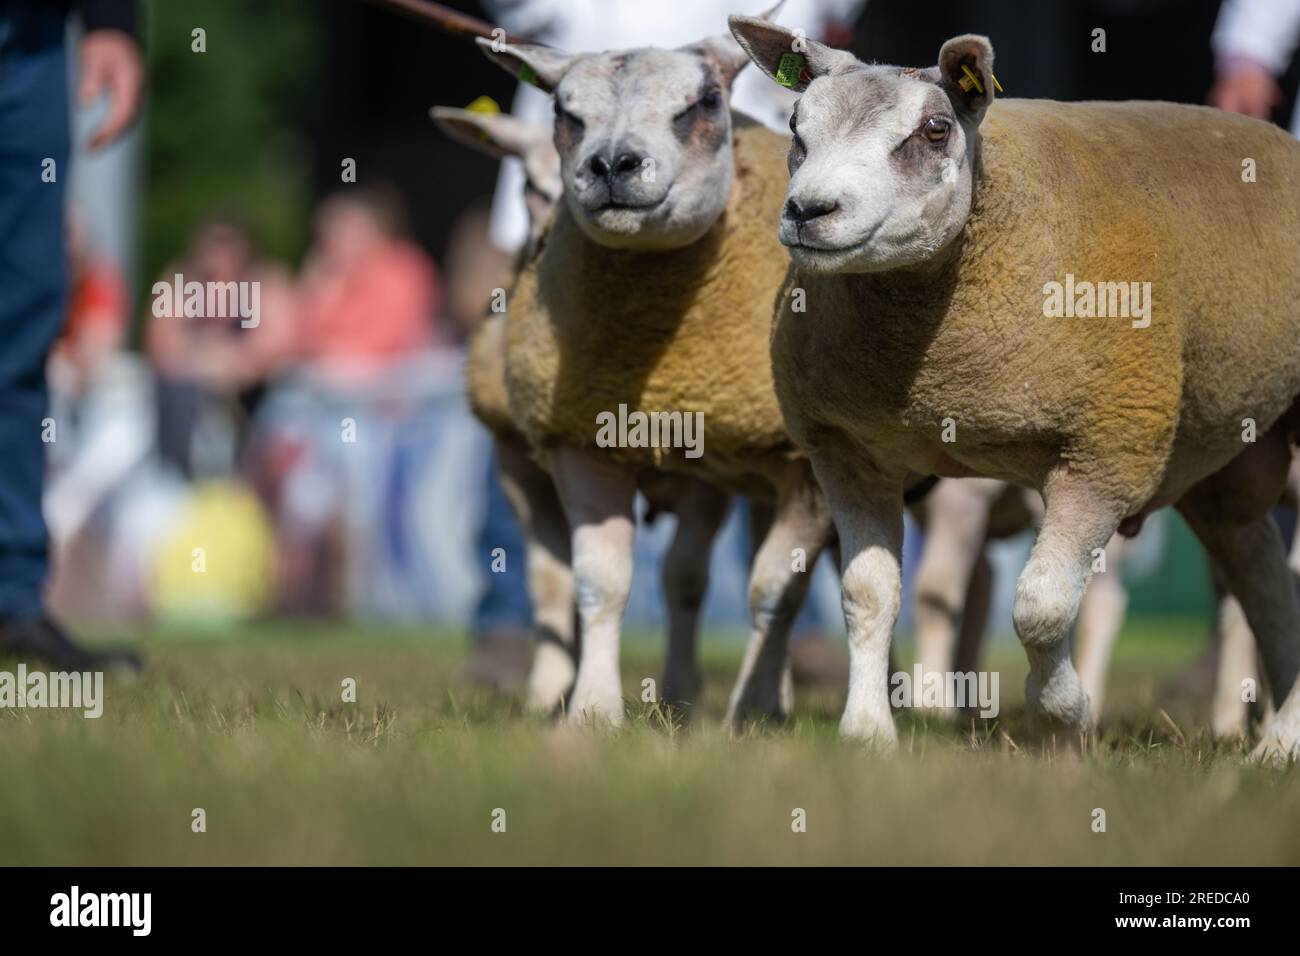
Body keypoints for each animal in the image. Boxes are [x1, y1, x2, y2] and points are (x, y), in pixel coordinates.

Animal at [433, 106, 735, 712]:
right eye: (527, 184)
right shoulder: (521, 465)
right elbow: (553, 580)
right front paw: (550, 691)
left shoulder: (707, 476)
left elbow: (684, 579)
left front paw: (681, 697)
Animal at [473, 14, 841, 726]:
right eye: (565, 112)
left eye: (703, 102)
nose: (612, 165)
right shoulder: (583, 442)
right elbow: (601, 584)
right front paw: (591, 711)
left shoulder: (803, 462)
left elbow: (772, 591)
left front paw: (753, 712)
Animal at [728, 16, 1300, 759]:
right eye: (797, 124)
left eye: (935, 130)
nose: (808, 210)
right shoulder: (846, 452)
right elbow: (868, 593)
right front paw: (867, 732)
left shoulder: (1107, 448)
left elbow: (1040, 607)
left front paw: (1063, 718)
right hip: (1230, 461)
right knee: (1268, 586)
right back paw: (1280, 739)